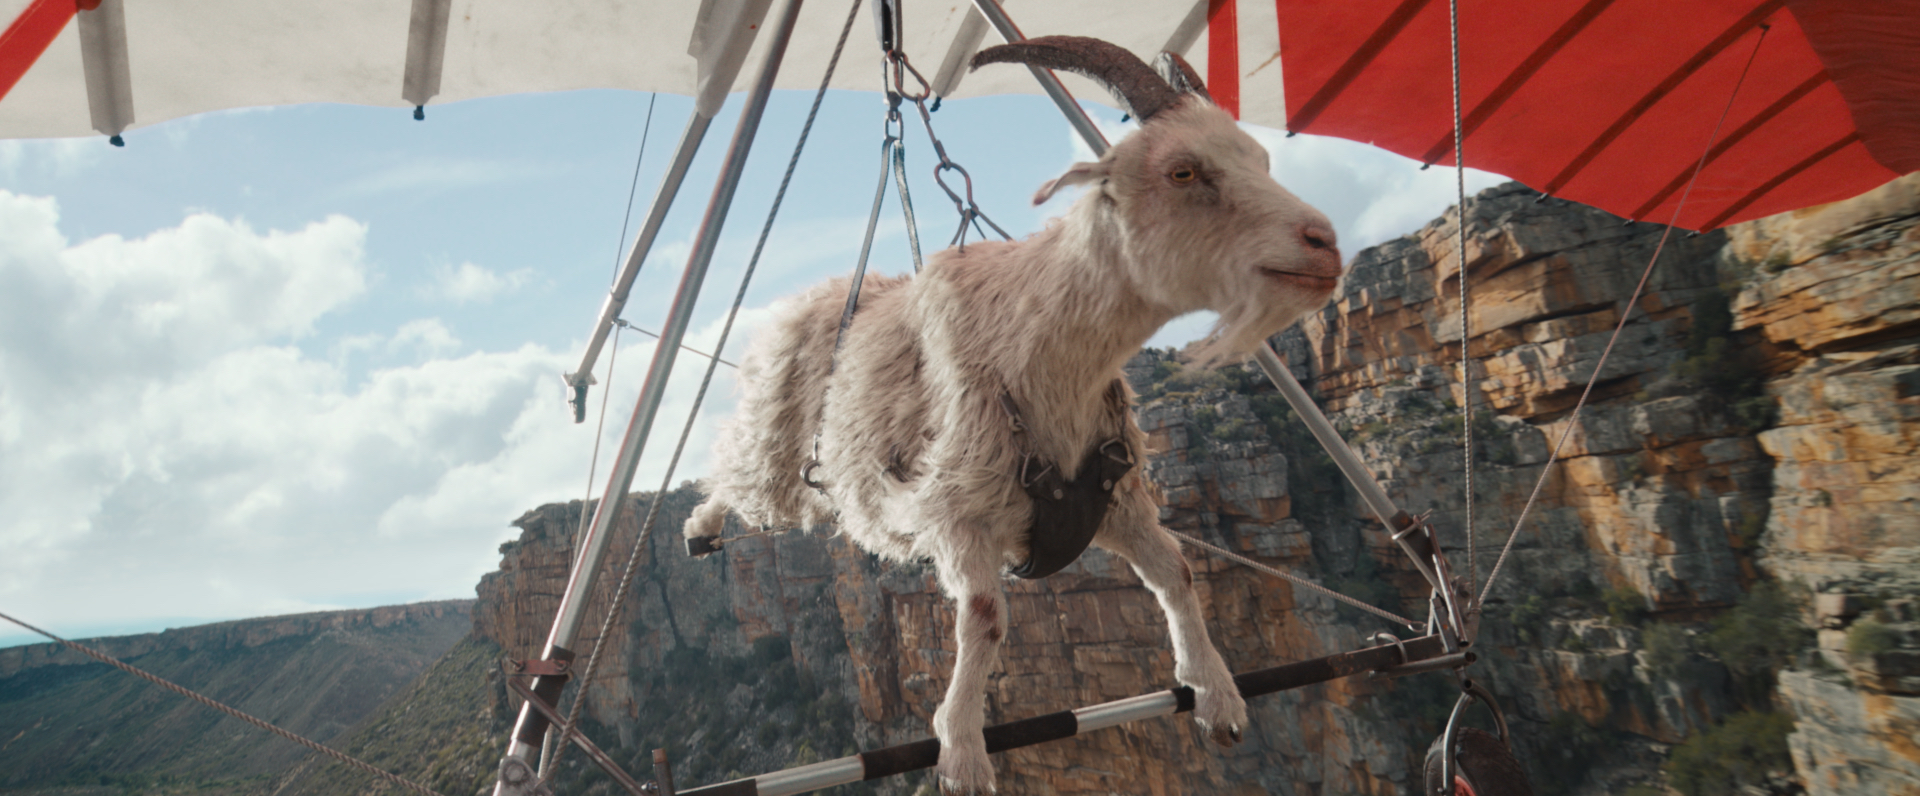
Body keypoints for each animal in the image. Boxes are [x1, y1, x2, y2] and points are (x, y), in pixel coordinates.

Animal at [684, 36, 1342, 794]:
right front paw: (964, 753)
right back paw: (698, 529)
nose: (1324, 243)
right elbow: (985, 619)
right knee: (732, 475)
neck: (1038, 355)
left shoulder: (1114, 503)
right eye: (1182, 170)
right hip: (775, 442)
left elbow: (1175, 570)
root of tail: (810, 295)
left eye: (1260, 161)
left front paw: (1218, 697)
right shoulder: (958, 514)